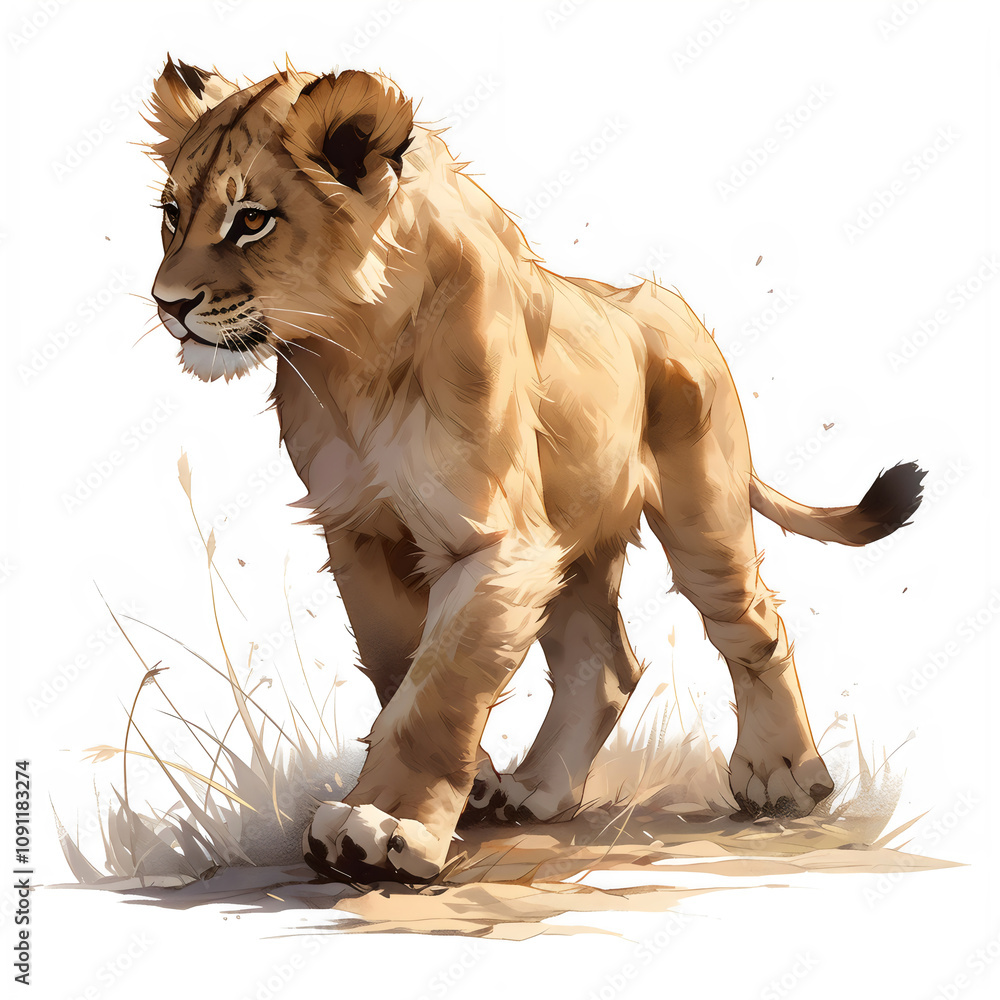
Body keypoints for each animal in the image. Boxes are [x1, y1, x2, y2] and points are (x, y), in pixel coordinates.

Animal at [146, 57, 924, 882]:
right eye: (172, 214)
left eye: (252, 219)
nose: (168, 304)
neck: (351, 357)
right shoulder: (361, 530)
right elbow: (398, 668)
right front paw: (470, 785)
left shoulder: (499, 541)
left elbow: (439, 690)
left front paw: (383, 826)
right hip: (577, 538)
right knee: (604, 664)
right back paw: (538, 791)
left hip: (702, 517)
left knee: (755, 625)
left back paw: (785, 776)